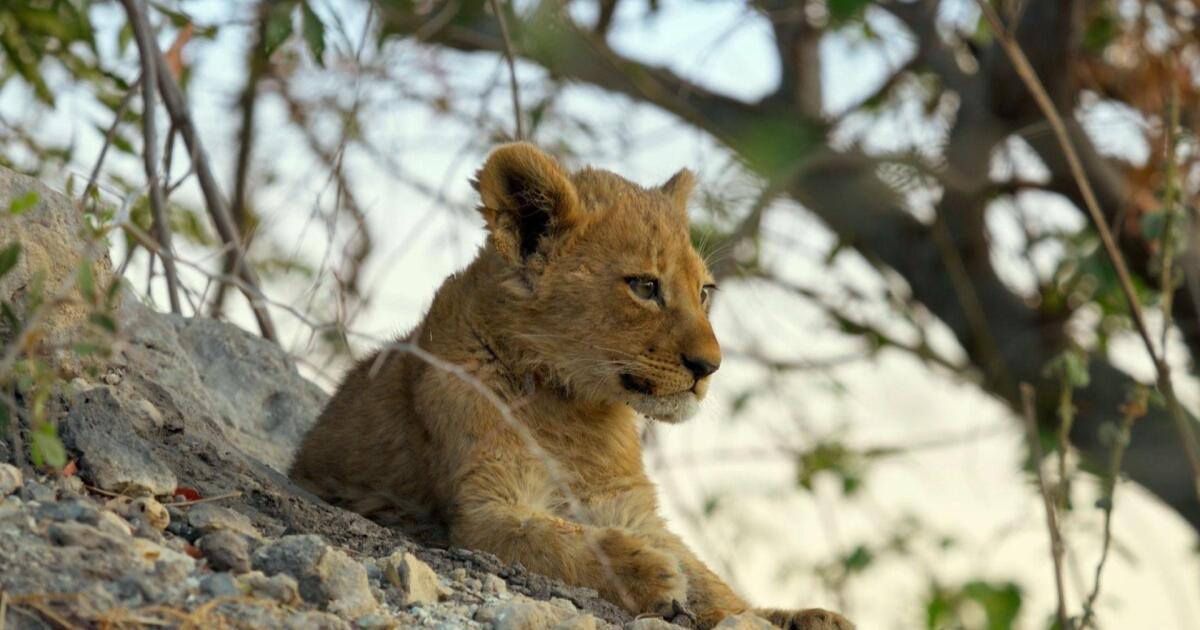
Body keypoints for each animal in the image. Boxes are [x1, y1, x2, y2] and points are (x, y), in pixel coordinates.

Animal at [289, 143, 854, 630]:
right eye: (645, 287)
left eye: (704, 293)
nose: (709, 367)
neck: (574, 408)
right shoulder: (482, 510)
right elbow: (554, 539)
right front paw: (647, 573)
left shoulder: (629, 507)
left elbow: (715, 585)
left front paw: (796, 616)